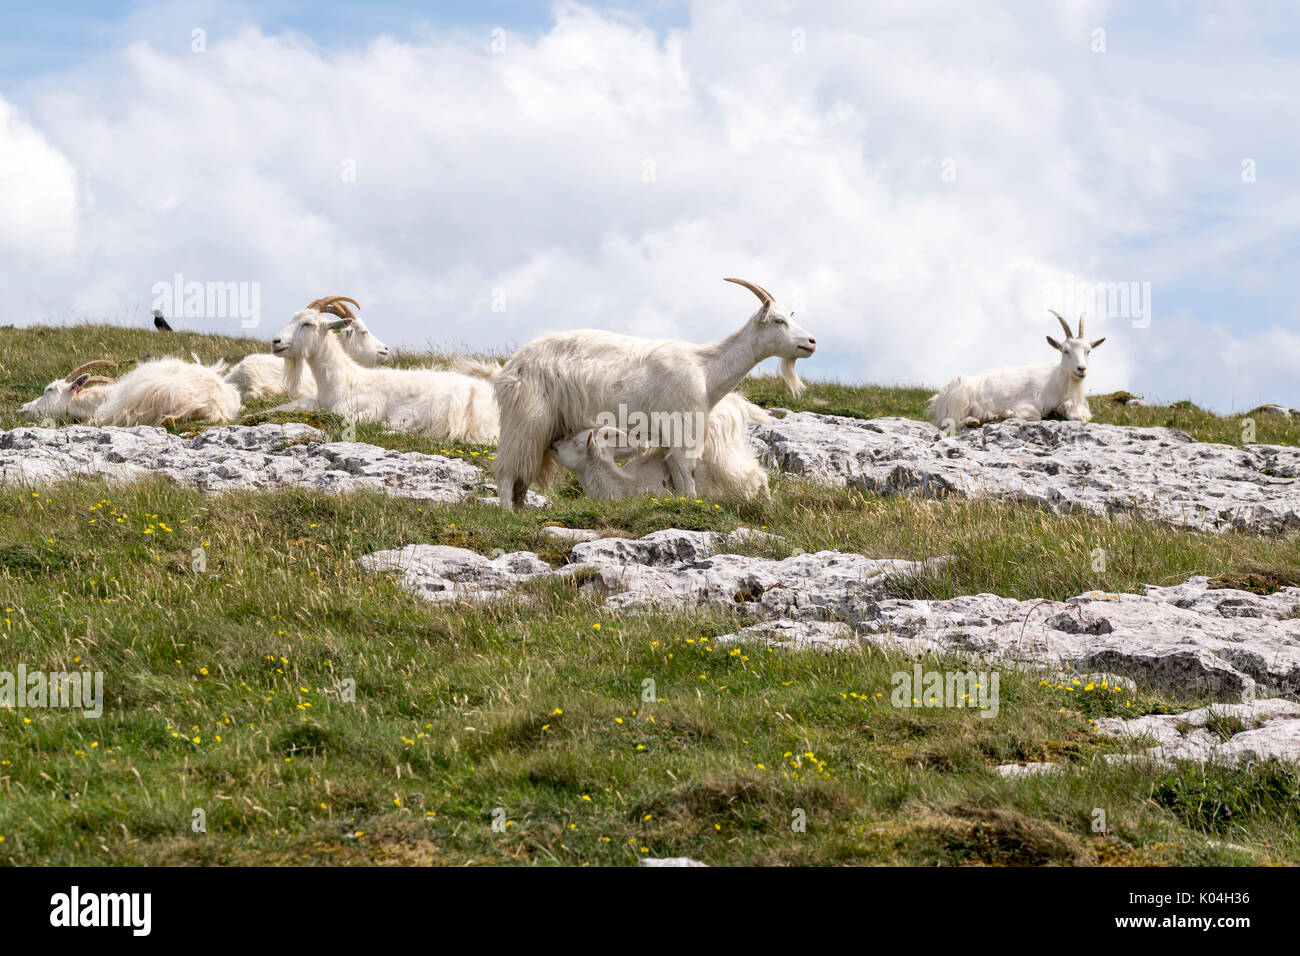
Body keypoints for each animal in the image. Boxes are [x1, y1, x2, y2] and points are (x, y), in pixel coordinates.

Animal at [270, 302, 498, 443]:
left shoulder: (370, 407)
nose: (276, 341)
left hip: (438, 409)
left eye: (308, 324)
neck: (344, 380)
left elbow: (349, 418)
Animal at [493, 277, 815, 508]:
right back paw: (509, 513)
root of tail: (511, 367)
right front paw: (689, 504)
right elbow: (685, 473)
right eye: (778, 321)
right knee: (507, 471)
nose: (811, 342)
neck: (705, 369)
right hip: (526, 419)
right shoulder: (680, 428)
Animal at [927, 311, 1105, 430]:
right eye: (1065, 351)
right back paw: (978, 419)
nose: (1081, 369)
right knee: (951, 422)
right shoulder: (1026, 403)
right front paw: (1006, 413)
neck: (1056, 381)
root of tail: (938, 399)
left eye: (1088, 350)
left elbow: (1080, 417)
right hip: (959, 395)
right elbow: (1036, 415)